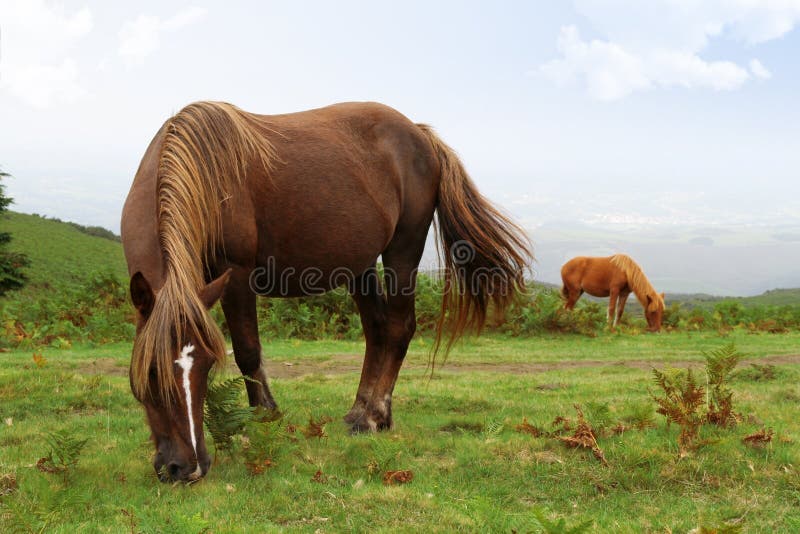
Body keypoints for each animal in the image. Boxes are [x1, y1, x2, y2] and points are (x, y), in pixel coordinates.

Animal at [121, 101, 531, 482]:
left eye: (207, 365)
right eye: (152, 372)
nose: (187, 468)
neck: (204, 170)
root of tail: (420, 134)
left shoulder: (235, 273)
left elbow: (248, 351)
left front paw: (262, 419)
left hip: (403, 249)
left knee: (399, 328)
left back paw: (373, 416)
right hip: (361, 265)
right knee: (377, 332)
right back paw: (362, 412)